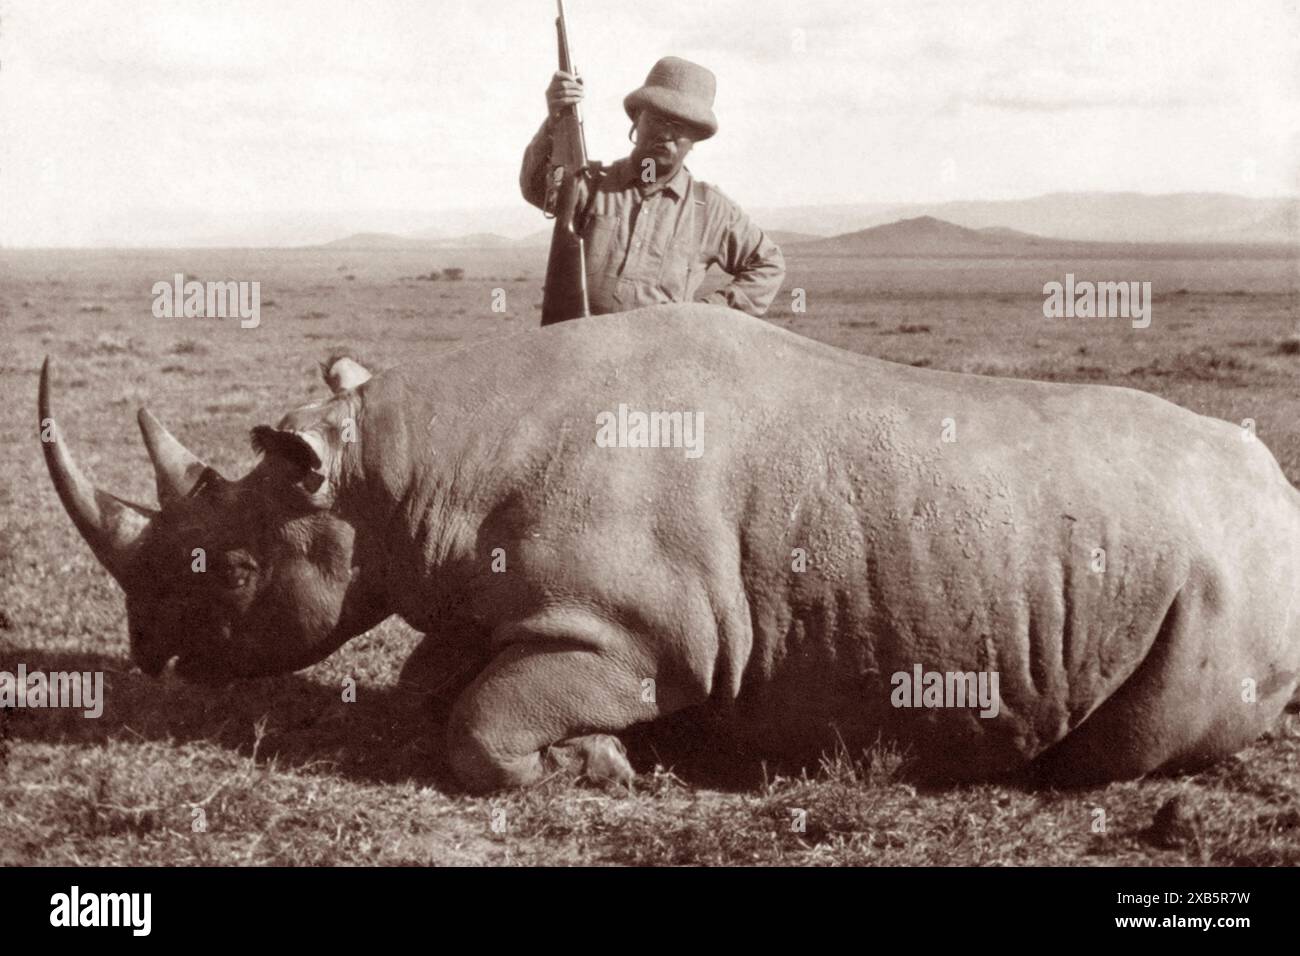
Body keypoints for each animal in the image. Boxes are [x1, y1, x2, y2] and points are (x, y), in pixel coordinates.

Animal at [39, 306, 1300, 791]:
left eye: (232, 570)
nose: (149, 652)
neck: (394, 475)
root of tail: (1279, 493)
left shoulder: (646, 636)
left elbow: (477, 722)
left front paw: (601, 766)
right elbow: (429, 684)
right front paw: (599, 754)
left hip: (1222, 588)